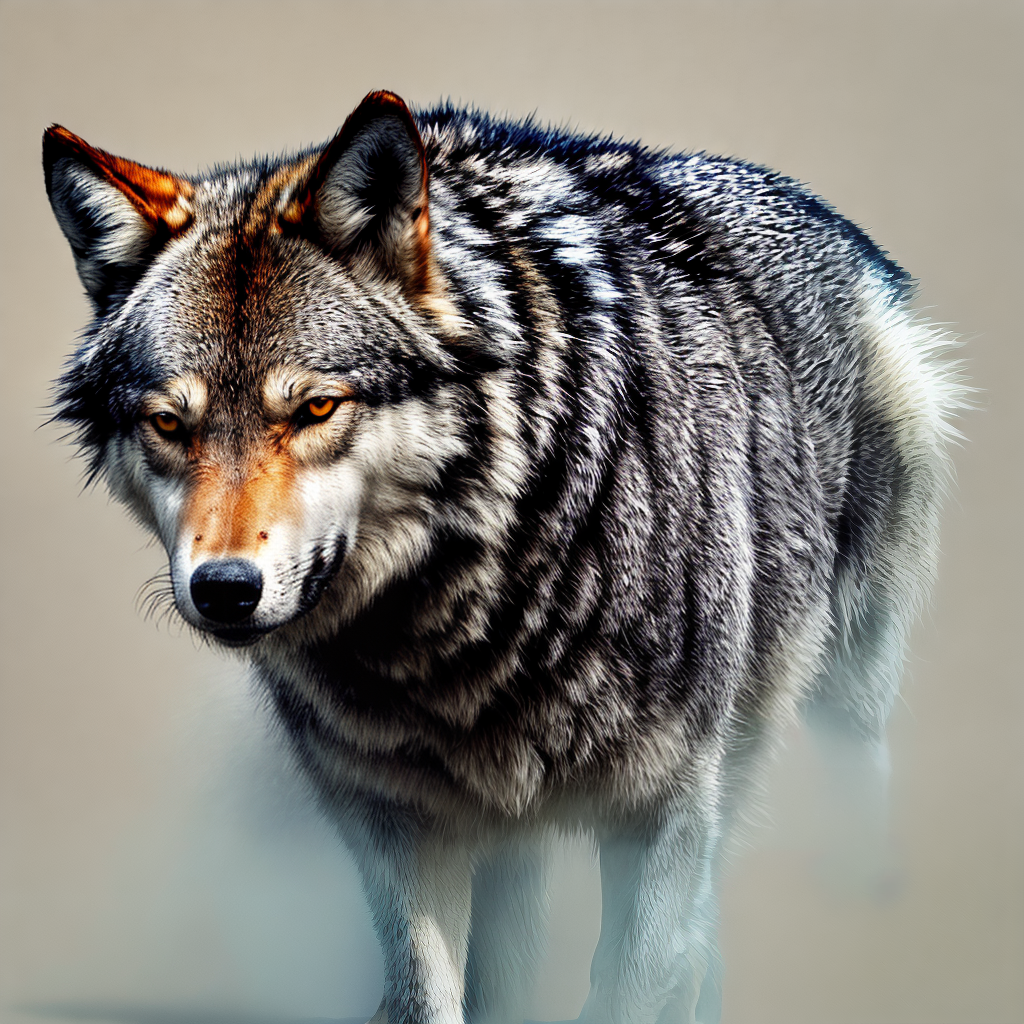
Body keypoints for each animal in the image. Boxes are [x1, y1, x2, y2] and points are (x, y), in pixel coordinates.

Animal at [43, 90, 963, 1023]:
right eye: (169, 423)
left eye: (316, 408)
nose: (225, 590)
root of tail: (832, 220)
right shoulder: (396, 825)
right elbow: (426, 996)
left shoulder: (661, 810)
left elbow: (633, 983)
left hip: (839, 694)